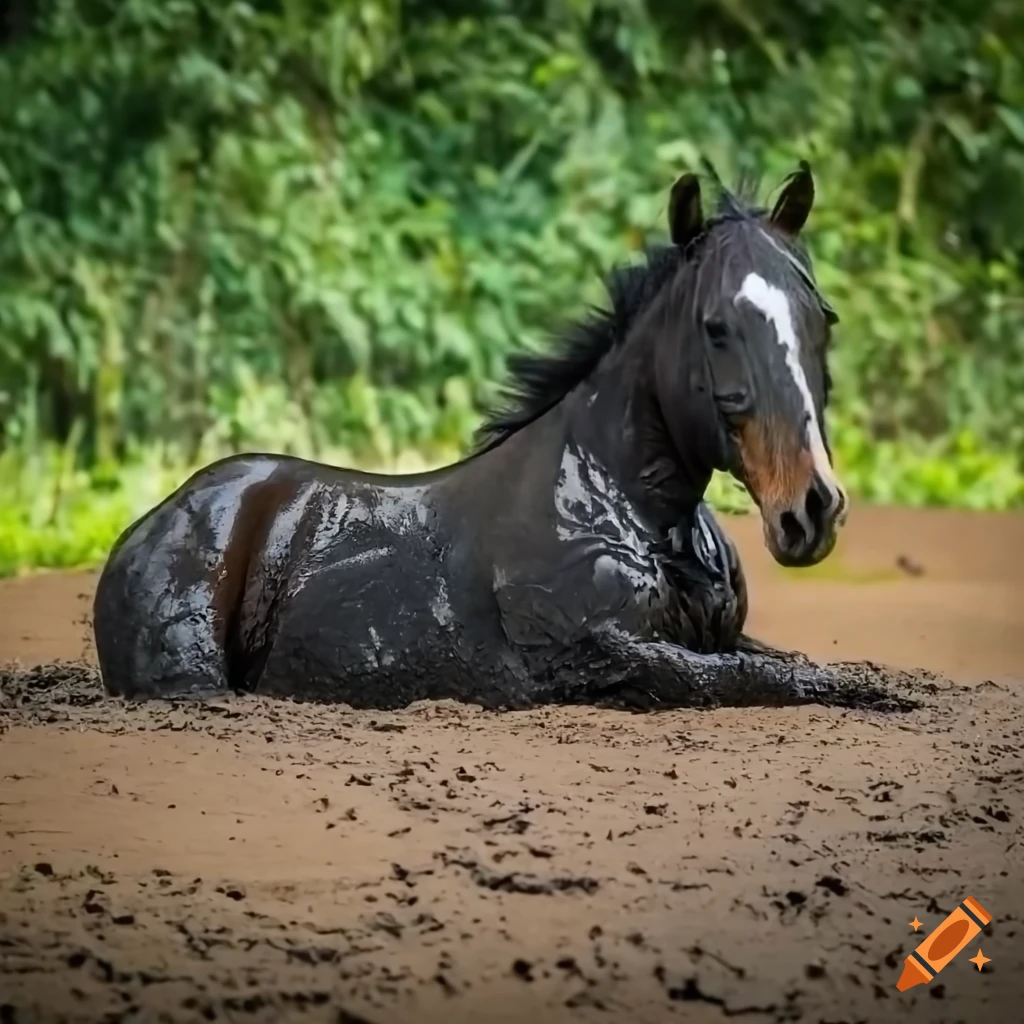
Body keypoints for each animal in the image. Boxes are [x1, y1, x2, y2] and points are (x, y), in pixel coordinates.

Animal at [93, 164, 893, 711]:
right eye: (716, 327)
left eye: (821, 317)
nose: (812, 508)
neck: (621, 502)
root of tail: (147, 525)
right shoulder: (607, 654)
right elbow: (771, 676)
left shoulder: (709, 634)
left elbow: (799, 664)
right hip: (189, 675)